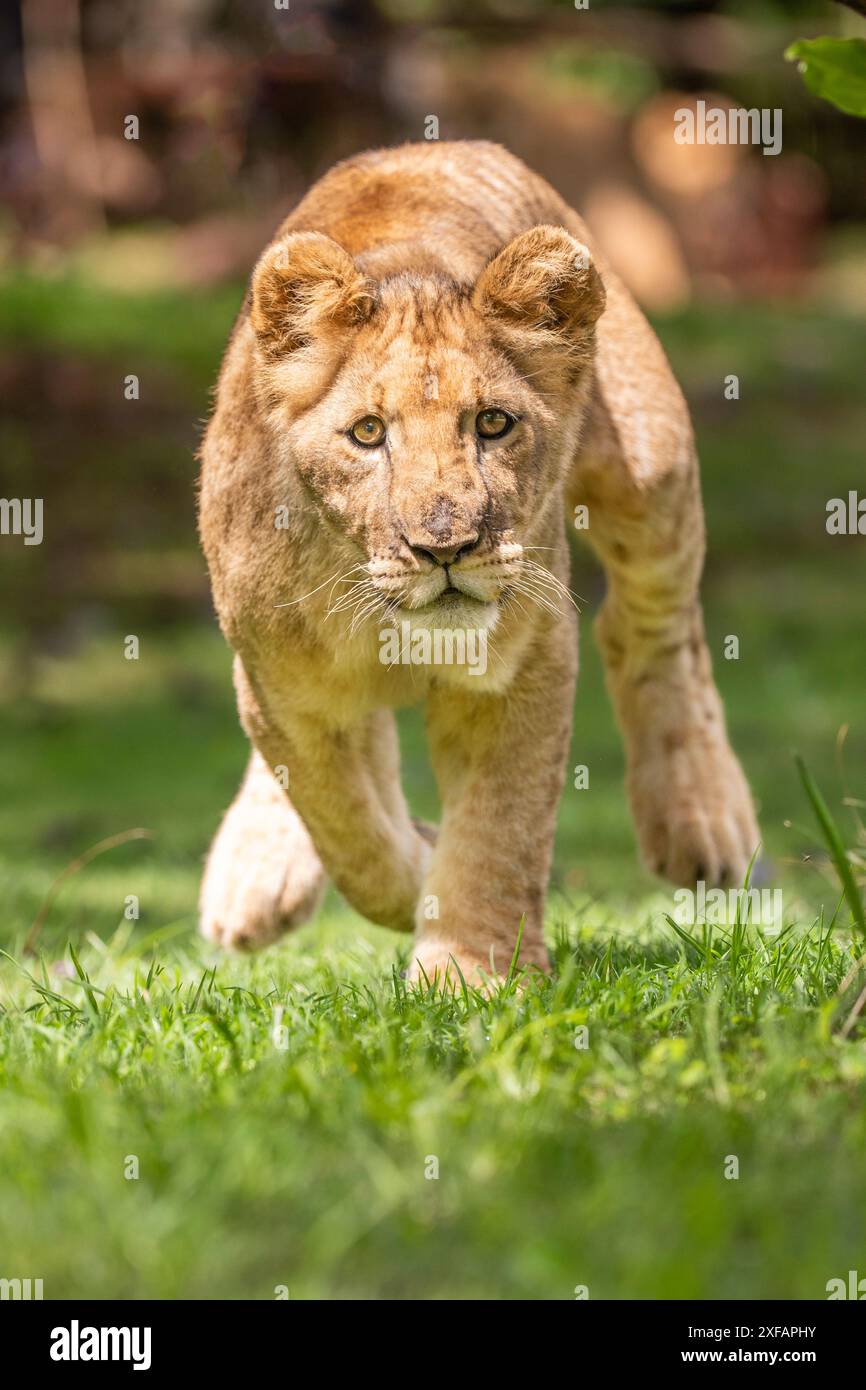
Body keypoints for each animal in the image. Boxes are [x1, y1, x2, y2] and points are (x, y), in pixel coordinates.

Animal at [197, 140, 759, 984]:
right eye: (368, 433)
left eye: (493, 424)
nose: (445, 546)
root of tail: (425, 145)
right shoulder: (285, 694)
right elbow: (348, 828)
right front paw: (419, 876)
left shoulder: (526, 665)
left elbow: (500, 827)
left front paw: (470, 971)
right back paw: (255, 881)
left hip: (649, 460)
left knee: (654, 626)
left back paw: (702, 821)